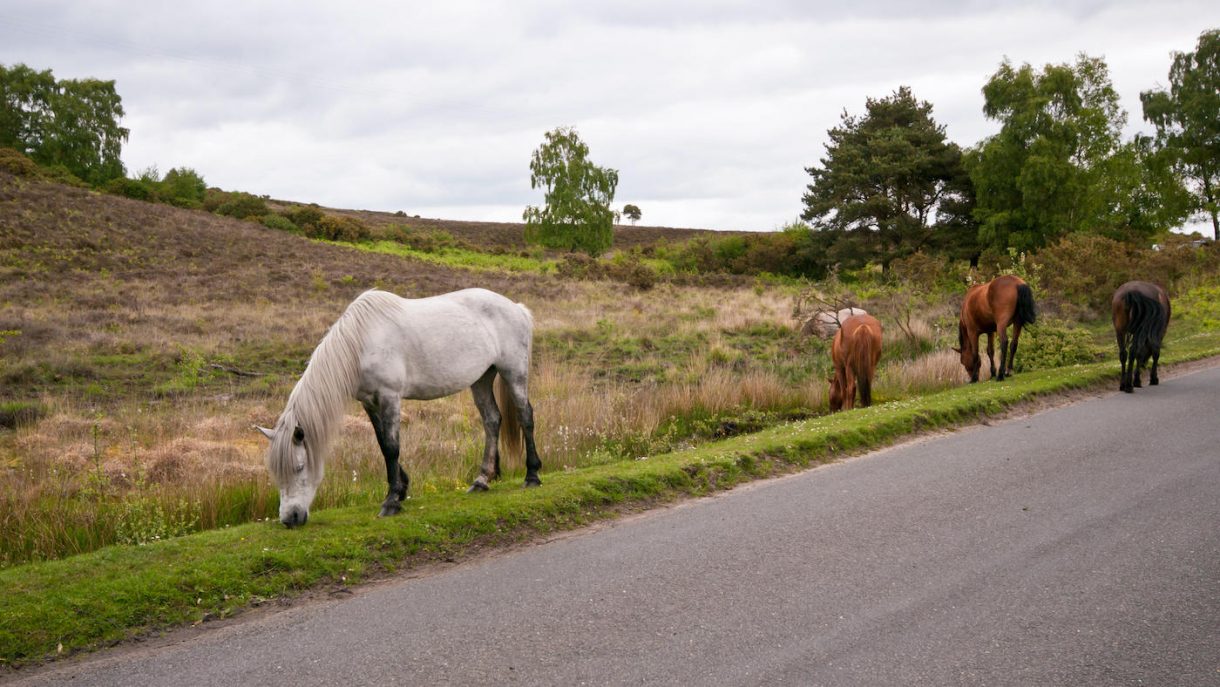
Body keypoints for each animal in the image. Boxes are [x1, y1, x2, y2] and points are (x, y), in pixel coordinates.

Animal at [256, 288, 541, 527]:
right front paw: (401, 489)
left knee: (525, 416)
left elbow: (392, 447)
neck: (361, 342)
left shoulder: (390, 397)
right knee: (492, 420)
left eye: (299, 467)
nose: (290, 519)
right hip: (481, 378)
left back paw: (532, 475)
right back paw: (482, 481)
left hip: (514, 372)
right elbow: (383, 444)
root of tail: (516, 308)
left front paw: (391, 501)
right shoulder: (369, 402)